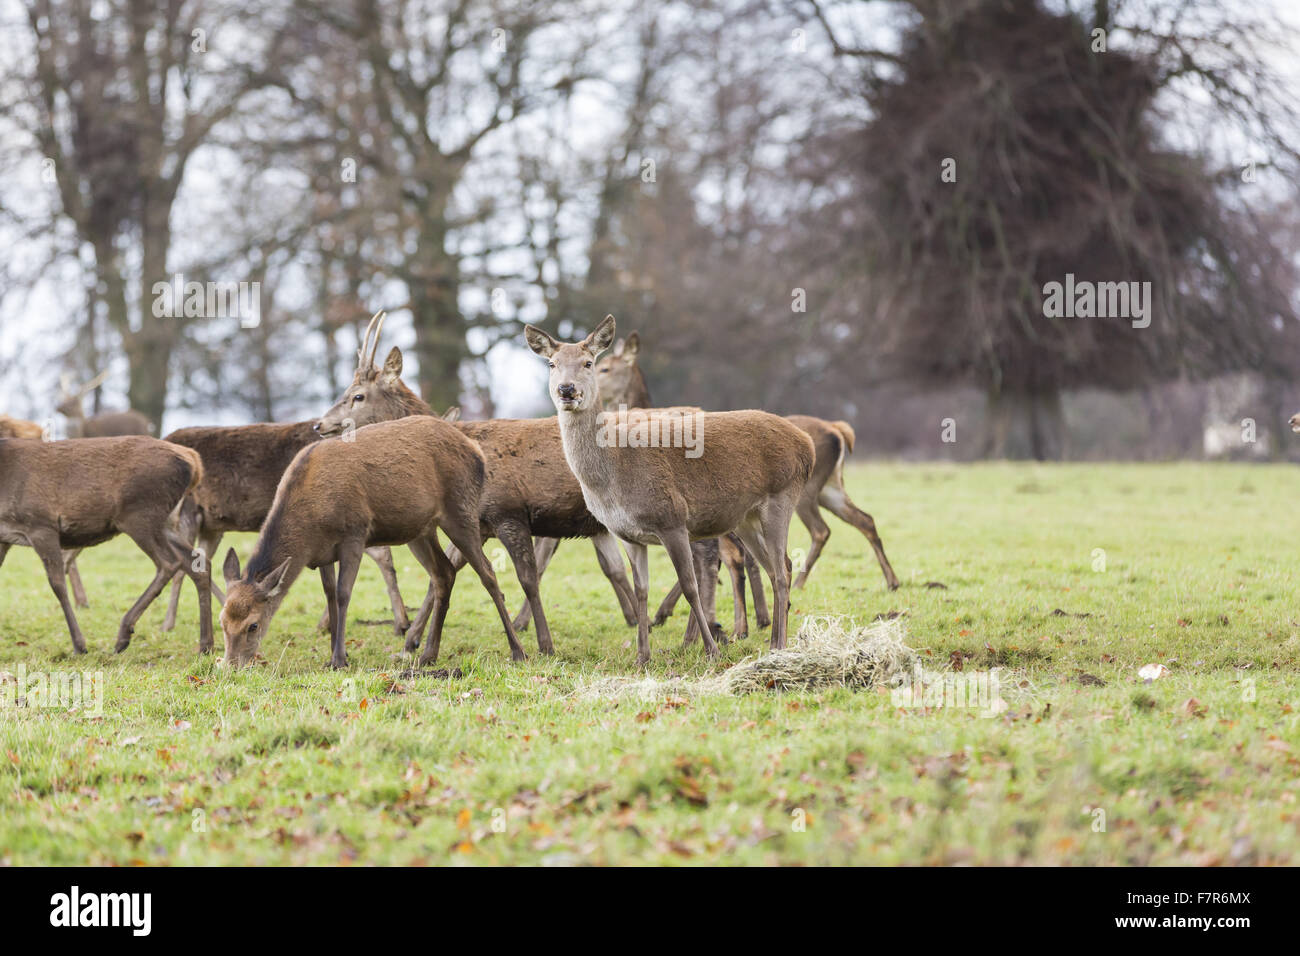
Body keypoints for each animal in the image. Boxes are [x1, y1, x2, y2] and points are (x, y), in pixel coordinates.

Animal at [0, 435, 212, 654]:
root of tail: (193, 461)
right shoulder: (5, 537)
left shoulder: (40, 524)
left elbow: (57, 584)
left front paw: (80, 646)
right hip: (166, 521)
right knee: (199, 564)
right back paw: (206, 645)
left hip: (140, 513)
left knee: (169, 563)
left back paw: (123, 635)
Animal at [218, 415, 525, 669]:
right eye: (222, 621)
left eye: (253, 625)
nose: (231, 665)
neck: (312, 522)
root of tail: (477, 451)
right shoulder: (321, 554)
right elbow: (329, 595)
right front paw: (334, 653)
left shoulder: (354, 533)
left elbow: (343, 594)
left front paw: (340, 659)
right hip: (421, 530)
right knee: (444, 573)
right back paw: (428, 655)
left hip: (461, 510)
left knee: (488, 573)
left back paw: (517, 651)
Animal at [314, 317, 646, 658]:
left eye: (358, 396)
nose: (319, 424)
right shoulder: (478, 522)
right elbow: (441, 576)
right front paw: (411, 642)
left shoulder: (506, 511)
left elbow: (526, 579)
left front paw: (544, 645)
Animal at [525, 315, 815, 665]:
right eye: (551, 363)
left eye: (589, 363)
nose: (567, 390)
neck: (613, 477)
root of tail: (807, 444)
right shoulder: (628, 534)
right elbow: (641, 591)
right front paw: (641, 657)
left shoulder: (672, 519)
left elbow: (690, 585)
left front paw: (711, 650)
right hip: (746, 517)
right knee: (778, 565)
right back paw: (772, 644)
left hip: (781, 495)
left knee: (782, 571)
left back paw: (779, 646)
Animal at [594, 330, 901, 600]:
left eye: (605, 367)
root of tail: (839, 431)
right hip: (831, 487)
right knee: (865, 519)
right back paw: (892, 581)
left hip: (807, 490)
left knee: (821, 530)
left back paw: (800, 583)